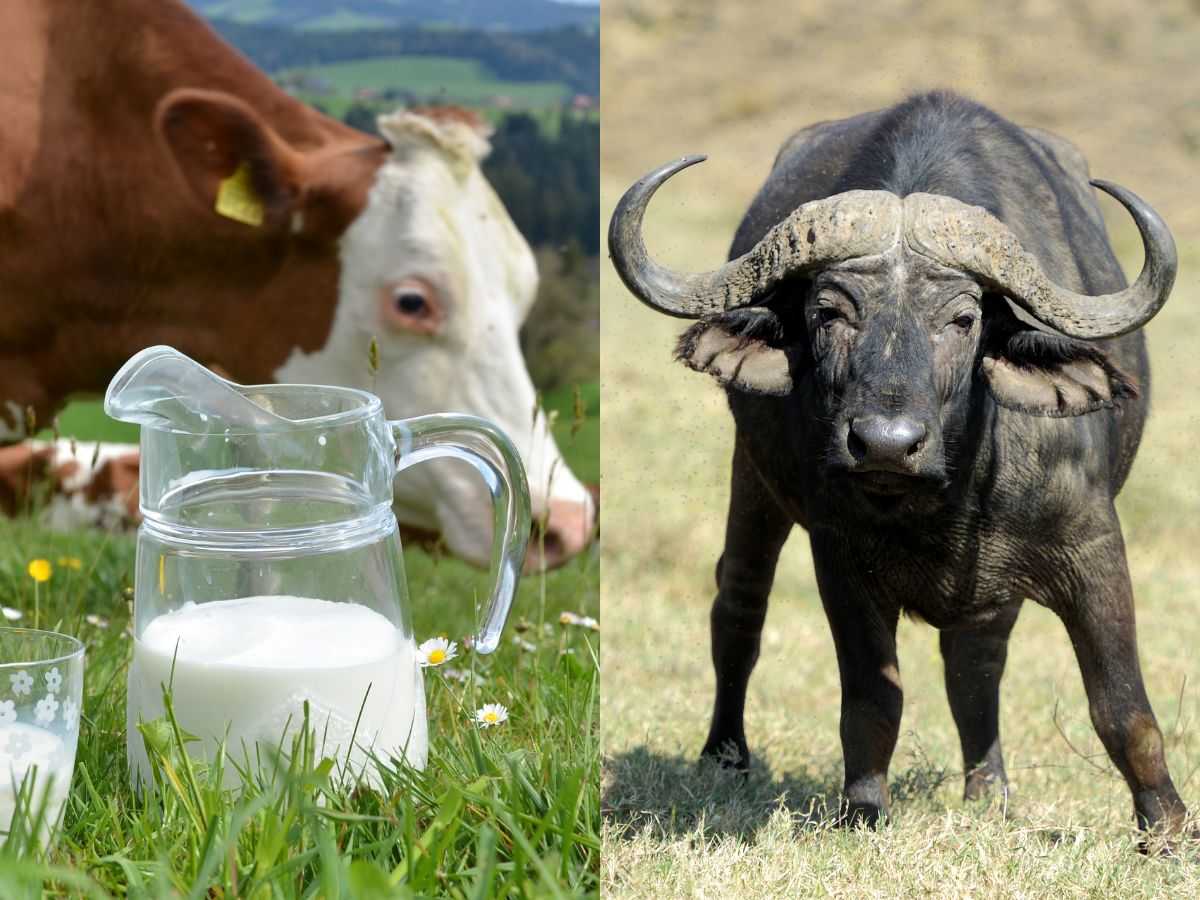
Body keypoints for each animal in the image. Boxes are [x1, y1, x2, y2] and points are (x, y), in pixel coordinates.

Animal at [609, 91, 1189, 837]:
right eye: (828, 312)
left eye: (964, 319)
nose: (885, 443)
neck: (941, 492)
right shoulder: (841, 560)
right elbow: (871, 700)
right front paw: (862, 809)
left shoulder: (1091, 544)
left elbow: (1122, 707)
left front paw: (1166, 827)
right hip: (751, 480)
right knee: (739, 604)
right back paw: (724, 758)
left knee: (976, 660)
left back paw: (988, 791)